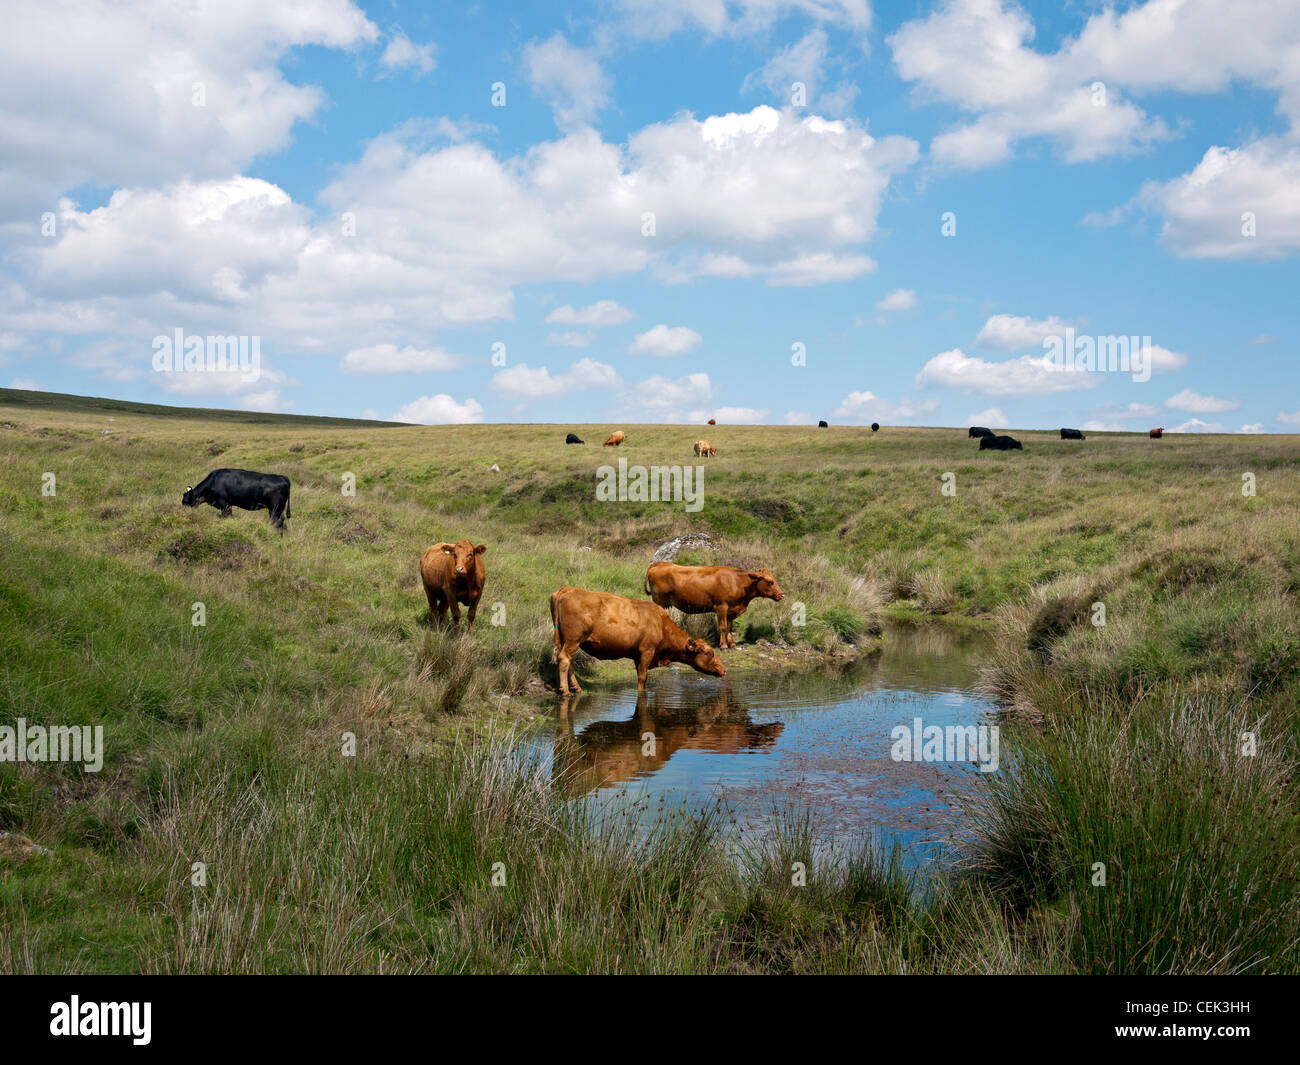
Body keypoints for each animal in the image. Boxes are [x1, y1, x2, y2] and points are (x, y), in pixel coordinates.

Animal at [549, 587, 726, 694]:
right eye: (710, 653)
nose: (723, 669)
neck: (661, 623)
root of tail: (568, 589)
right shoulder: (647, 651)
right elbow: (642, 677)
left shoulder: (636, 655)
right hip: (573, 639)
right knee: (564, 659)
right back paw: (565, 690)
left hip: (568, 640)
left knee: (568, 661)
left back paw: (575, 687)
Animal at [644, 562, 785, 649]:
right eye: (770, 582)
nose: (782, 594)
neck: (737, 582)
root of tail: (659, 563)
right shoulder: (721, 607)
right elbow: (722, 627)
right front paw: (723, 645)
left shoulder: (731, 610)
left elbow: (729, 627)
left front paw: (732, 644)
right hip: (659, 601)